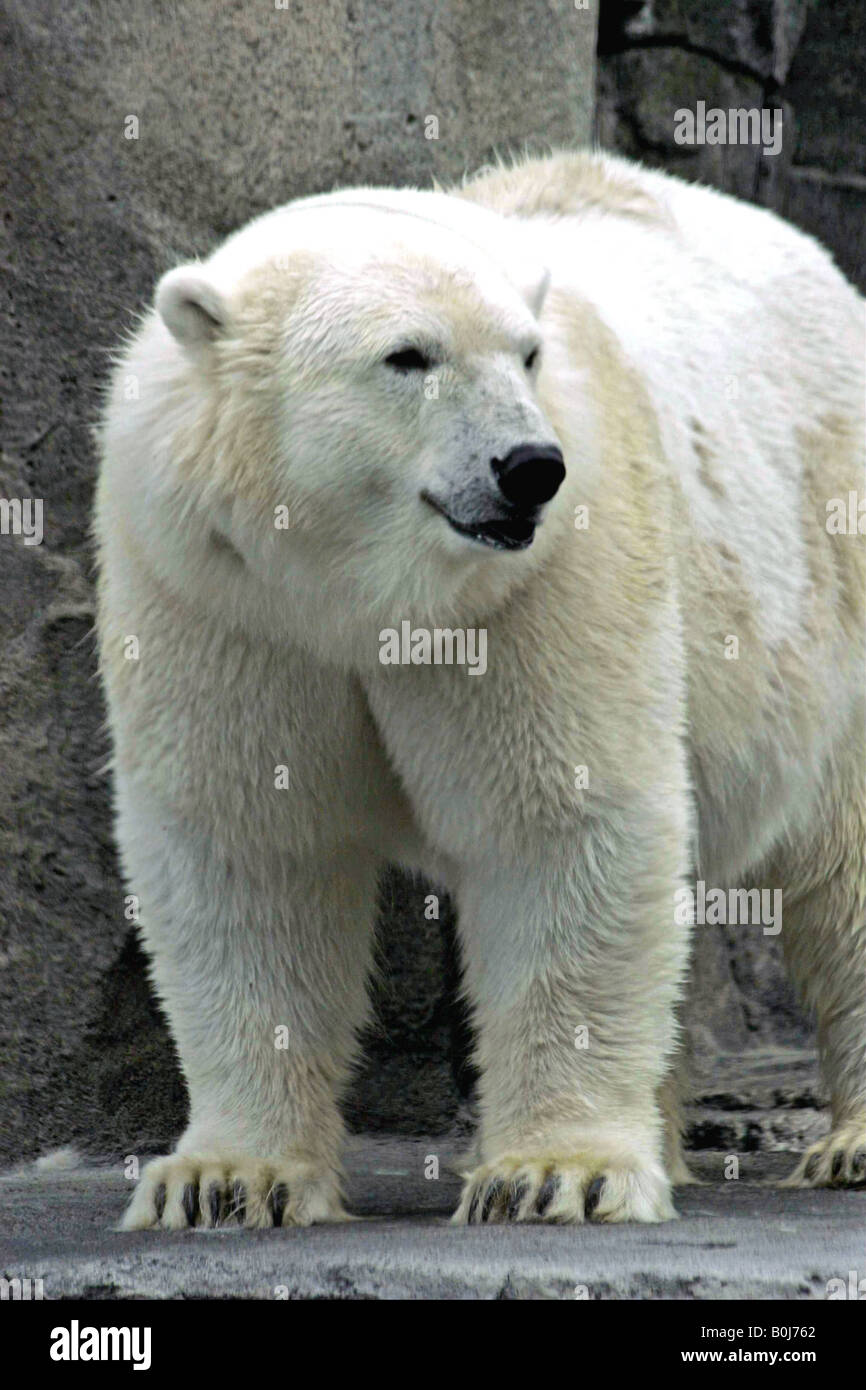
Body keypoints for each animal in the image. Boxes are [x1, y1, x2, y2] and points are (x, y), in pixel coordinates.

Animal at [95, 150, 866, 1229]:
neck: (355, 590)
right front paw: (224, 1178)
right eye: (407, 356)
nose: (530, 466)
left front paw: (555, 1172)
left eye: (527, 355)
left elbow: (559, 822)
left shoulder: (535, 585)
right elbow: (247, 844)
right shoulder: (218, 590)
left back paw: (844, 1144)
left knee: (845, 862)